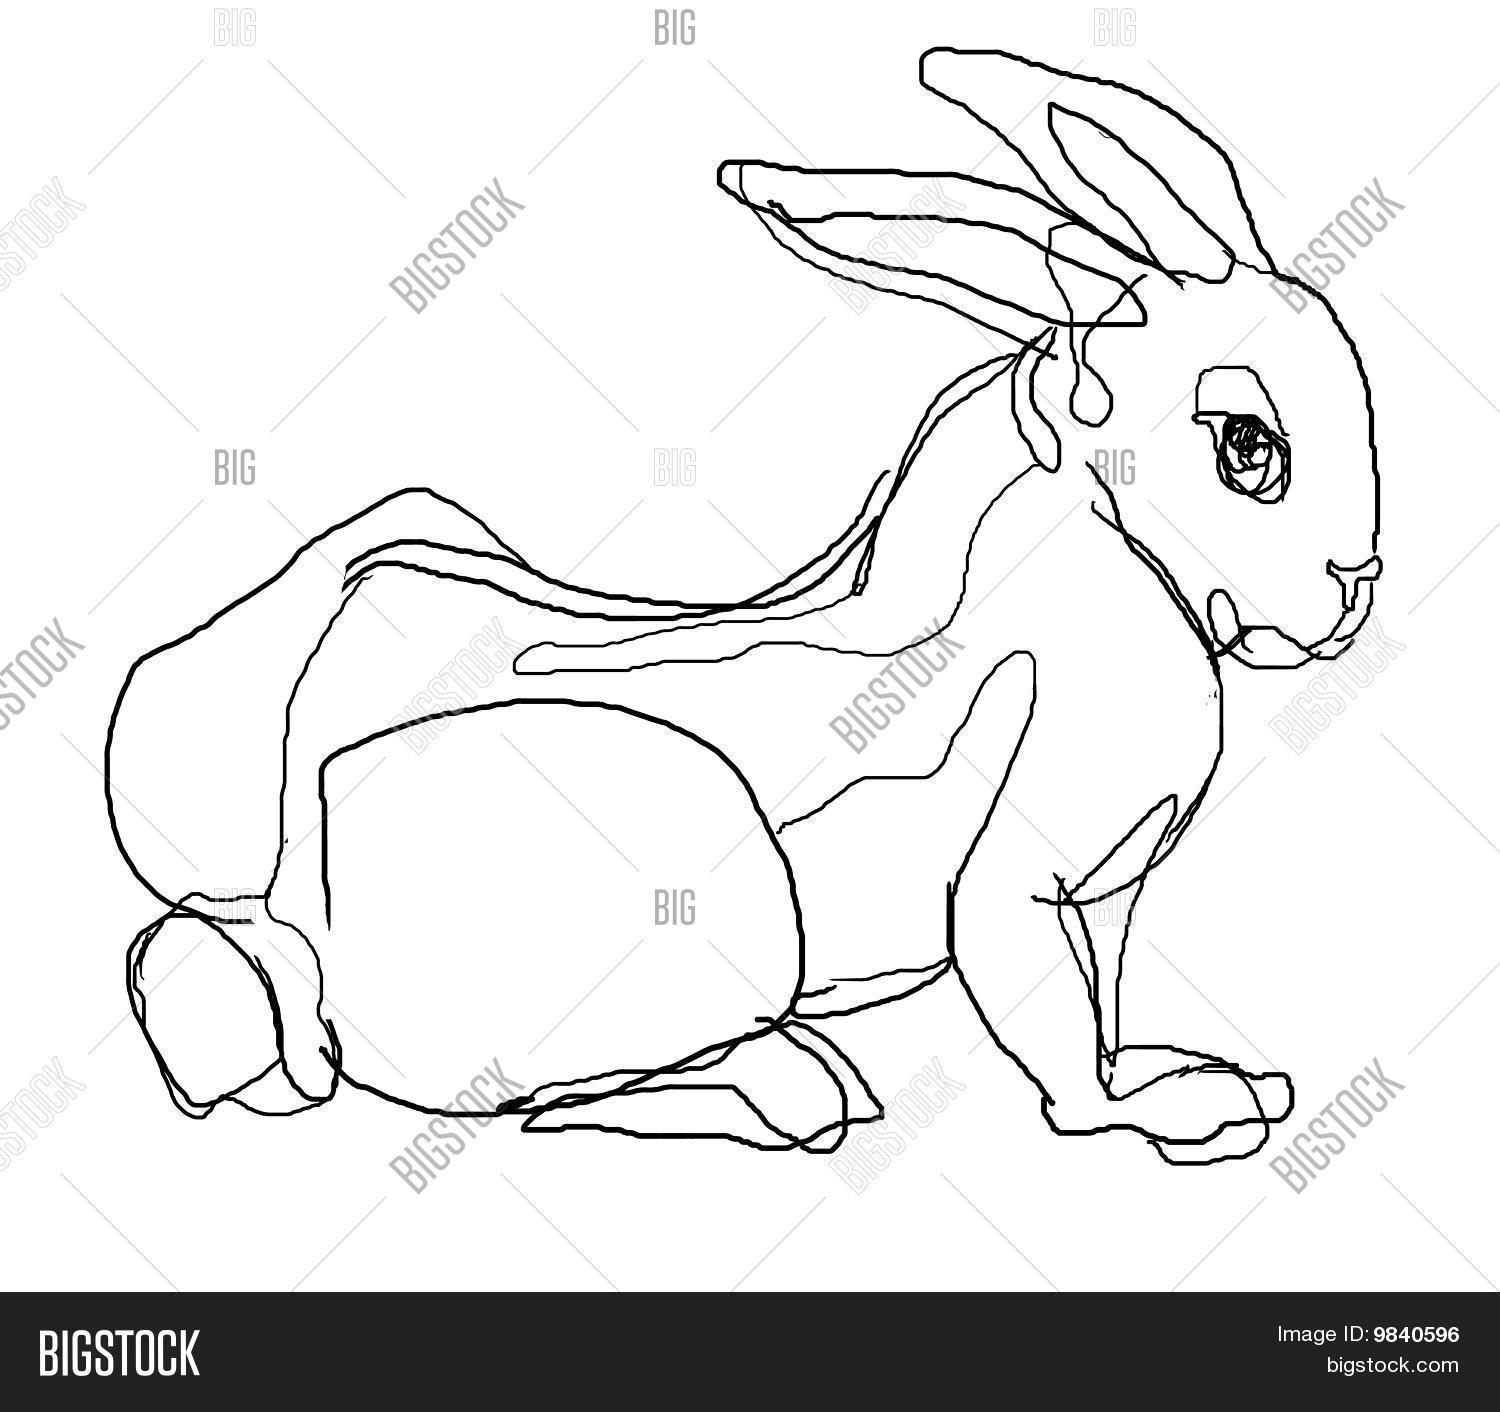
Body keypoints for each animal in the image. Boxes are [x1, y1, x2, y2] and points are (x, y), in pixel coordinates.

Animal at [107, 50, 1380, 1164]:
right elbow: (1048, 1021)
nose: (1352, 593)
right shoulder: (1020, 878)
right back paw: (794, 1083)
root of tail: (295, 918)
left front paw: (1178, 1073)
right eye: (1247, 446)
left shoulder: (1110, 893)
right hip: (712, 863)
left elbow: (1101, 995)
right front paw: (1174, 1113)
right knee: (560, 1097)